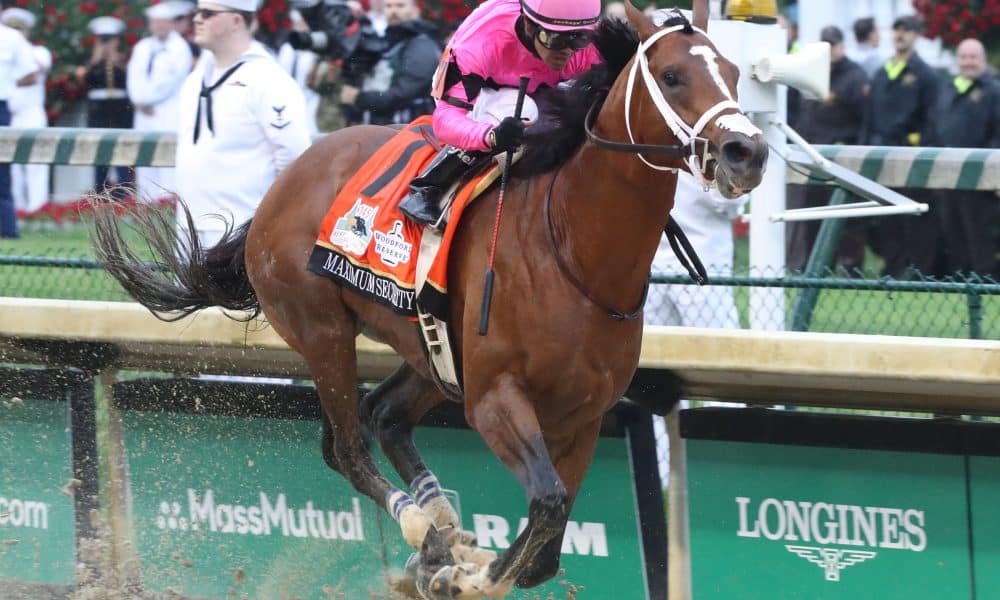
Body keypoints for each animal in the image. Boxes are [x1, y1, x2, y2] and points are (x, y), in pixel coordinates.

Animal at [91, 4, 767, 598]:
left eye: (735, 74)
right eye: (673, 76)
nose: (748, 152)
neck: (574, 253)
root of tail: (287, 177)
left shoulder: (584, 415)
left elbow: (546, 548)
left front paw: (460, 564)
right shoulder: (495, 400)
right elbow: (546, 506)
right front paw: (462, 577)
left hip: (429, 348)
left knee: (386, 414)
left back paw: (441, 528)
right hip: (322, 333)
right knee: (346, 446)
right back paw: (425, 528)